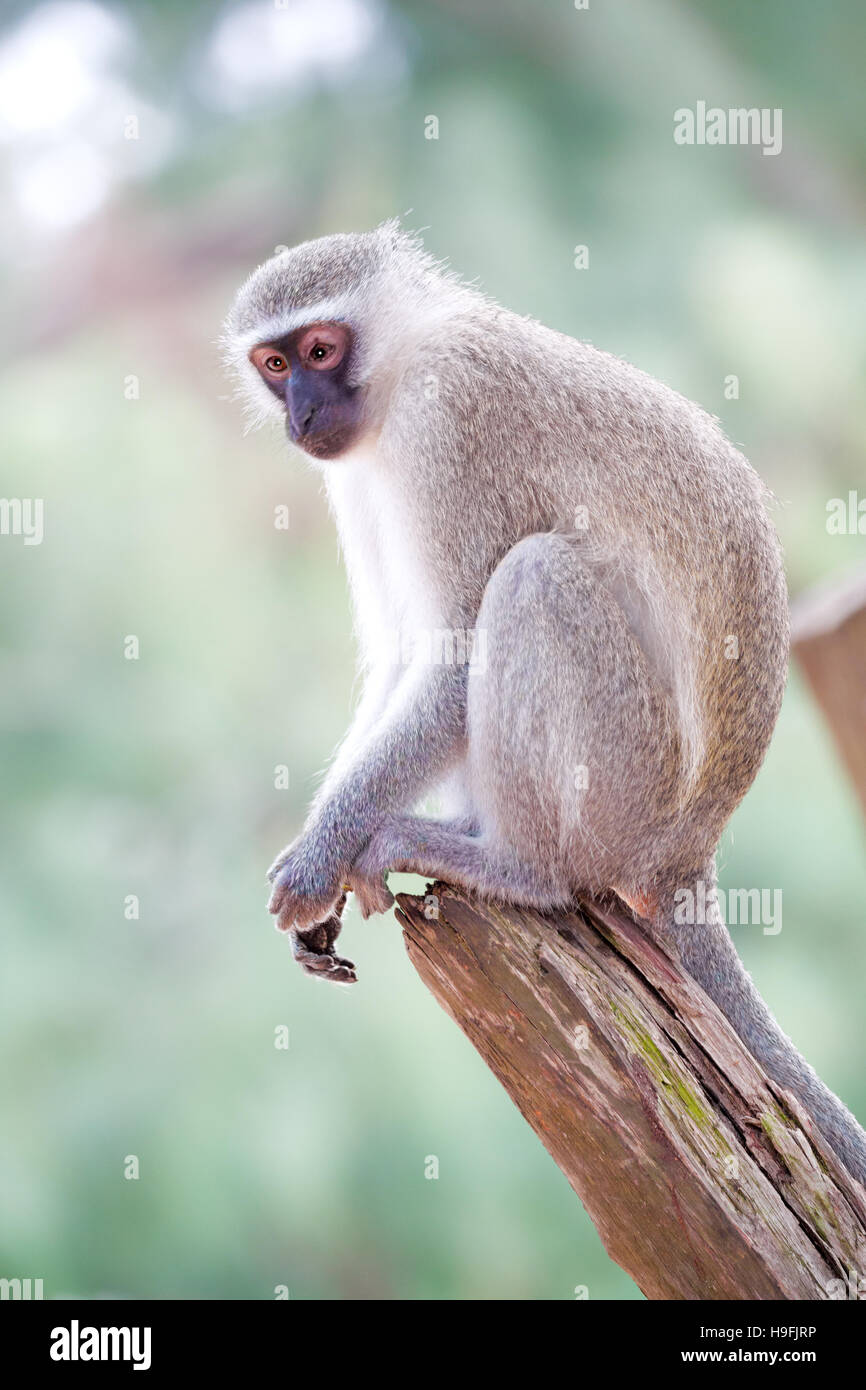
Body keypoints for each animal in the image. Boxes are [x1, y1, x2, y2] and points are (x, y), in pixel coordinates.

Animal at [224, 220, 866, 1184]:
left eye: (321, 351)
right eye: (273, 362)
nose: (301, 415)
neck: (408, 360)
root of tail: (689, 852)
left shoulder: (452, 420)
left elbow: (453, 650)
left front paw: (317, 858)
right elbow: (403, 655)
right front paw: (325, 859)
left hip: (625, 791)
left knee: (532, 575)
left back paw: (516, 866)